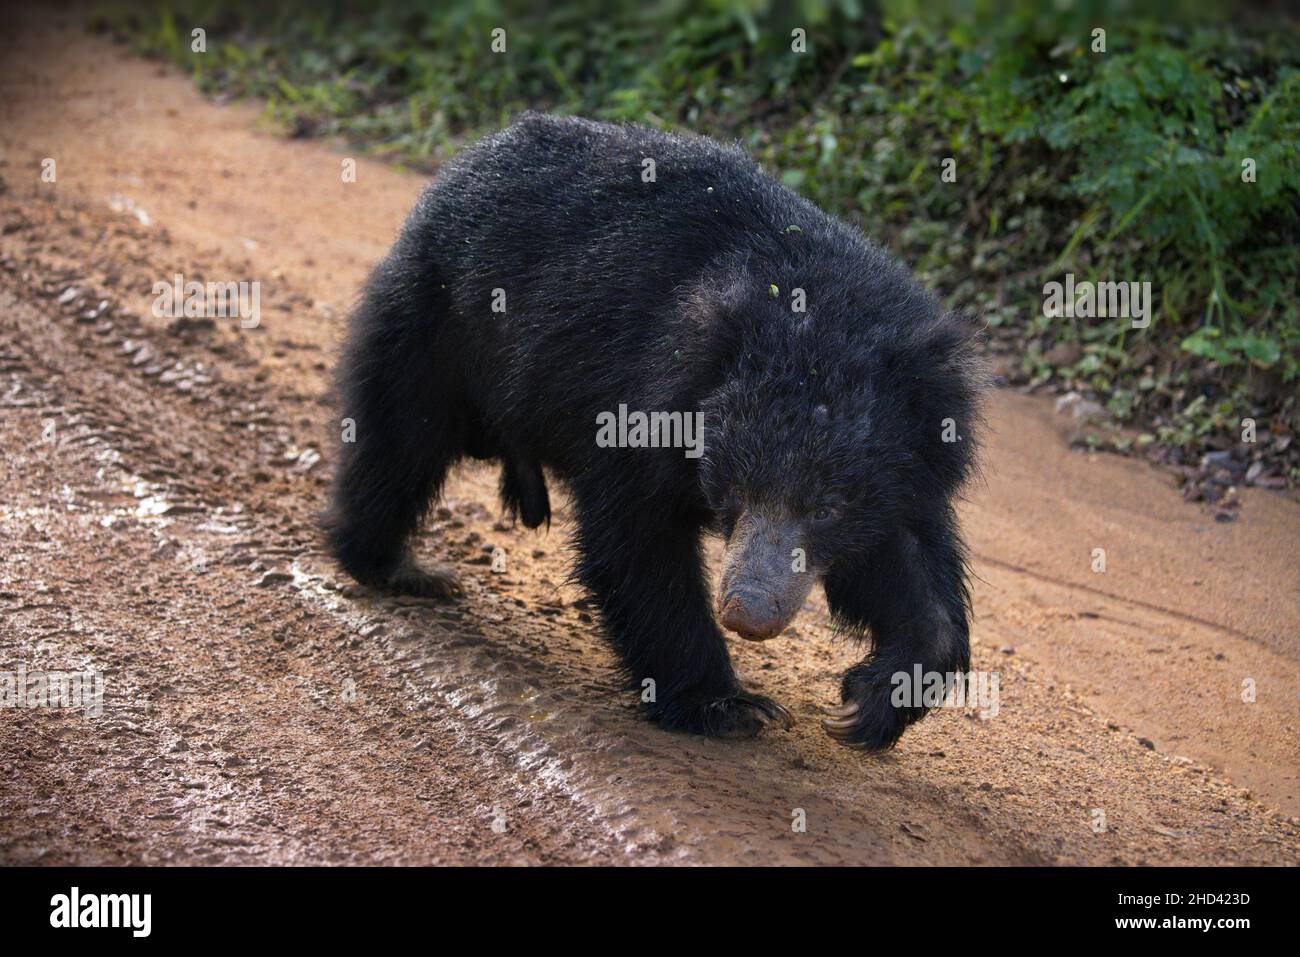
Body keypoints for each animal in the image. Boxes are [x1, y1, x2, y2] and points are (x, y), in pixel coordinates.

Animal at [327, 113, 983, 751]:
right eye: (734, 494)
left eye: (827, 509)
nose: (748, 614)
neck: (814, 307)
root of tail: (460, 166)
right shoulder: (642, 399)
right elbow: (639, 540)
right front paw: (727, 706)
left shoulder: (908, 462)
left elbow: (904, 565)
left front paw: (868, 704)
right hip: (437, 321)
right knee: (401, 439)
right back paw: (399, 567)